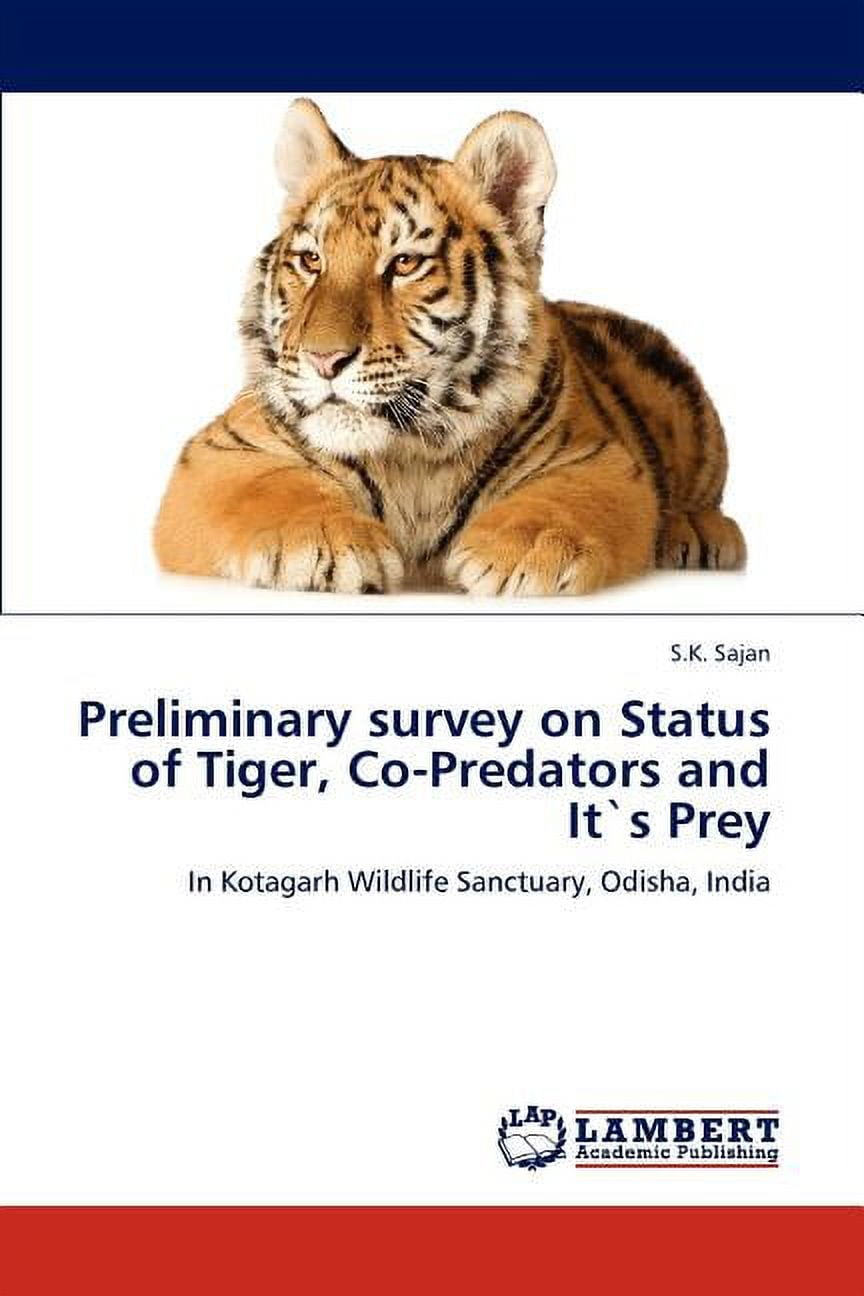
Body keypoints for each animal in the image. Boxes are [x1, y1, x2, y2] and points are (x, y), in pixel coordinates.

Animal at [154, 99, 745, 595]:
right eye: (311, 260)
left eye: (405, 264)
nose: (324, 360)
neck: (409, 455)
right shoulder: (217, 454)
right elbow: (273, 488)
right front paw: (325, 544)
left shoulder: (601, 459)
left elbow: (564, 499)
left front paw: (520, 552)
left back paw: (701, 532)